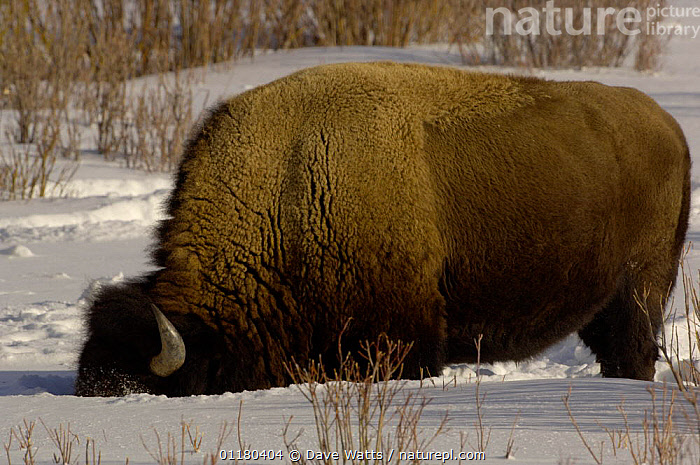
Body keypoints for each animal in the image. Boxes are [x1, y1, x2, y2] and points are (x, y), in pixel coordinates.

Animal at [76, 62, 690, 396]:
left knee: (634, 351)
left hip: (639, 292)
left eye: (145, 383)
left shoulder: (401, 339)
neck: (288, 192)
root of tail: (666, 125)